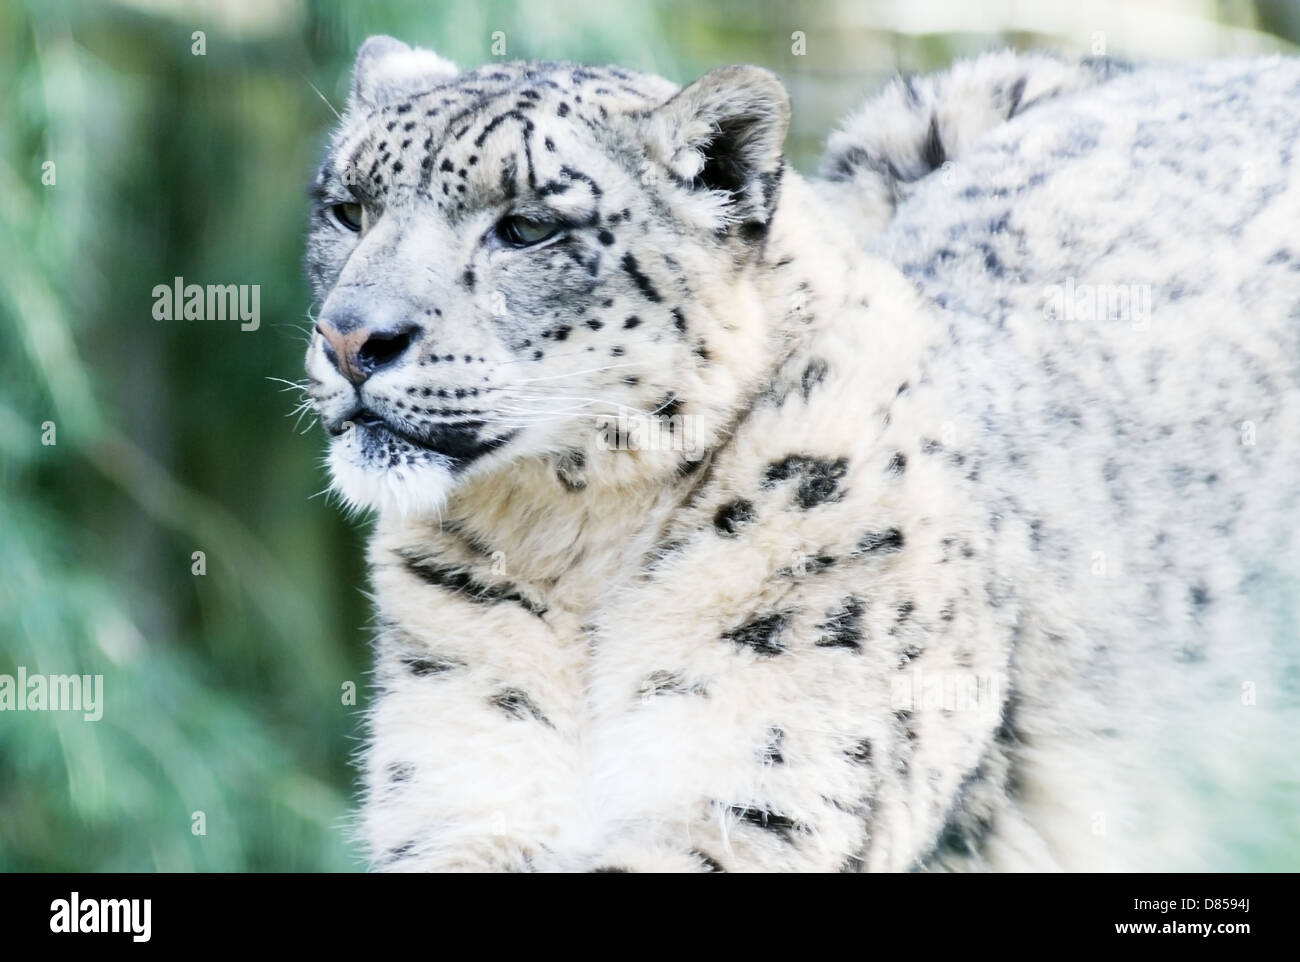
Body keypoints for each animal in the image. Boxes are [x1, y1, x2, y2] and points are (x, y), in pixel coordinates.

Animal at [302, 36, 1300, 871]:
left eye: (527, 226)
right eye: (348, 209)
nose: (351, 338)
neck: (572, 557)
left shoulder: (753, 805)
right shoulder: (461, 796)